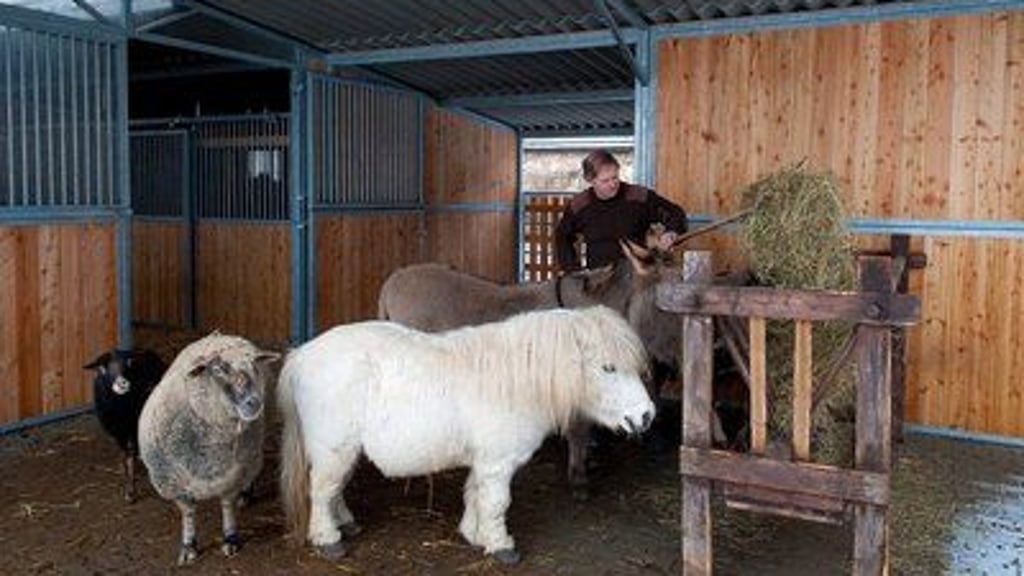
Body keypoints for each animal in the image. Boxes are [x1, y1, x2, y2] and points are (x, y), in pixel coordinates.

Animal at [278, 306, 656, 565]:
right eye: (608, 368)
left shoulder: (484, 462)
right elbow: (497, 503)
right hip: (333, 448)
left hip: (343, 450)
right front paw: (501, 545)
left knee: (333, 488)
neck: (517, 381)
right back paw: (327, 538)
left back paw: (345, 523)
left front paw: (475, 535)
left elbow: (475, 495)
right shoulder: (498, 464)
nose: (646, 416)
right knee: (321, 490)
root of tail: (301, 355)